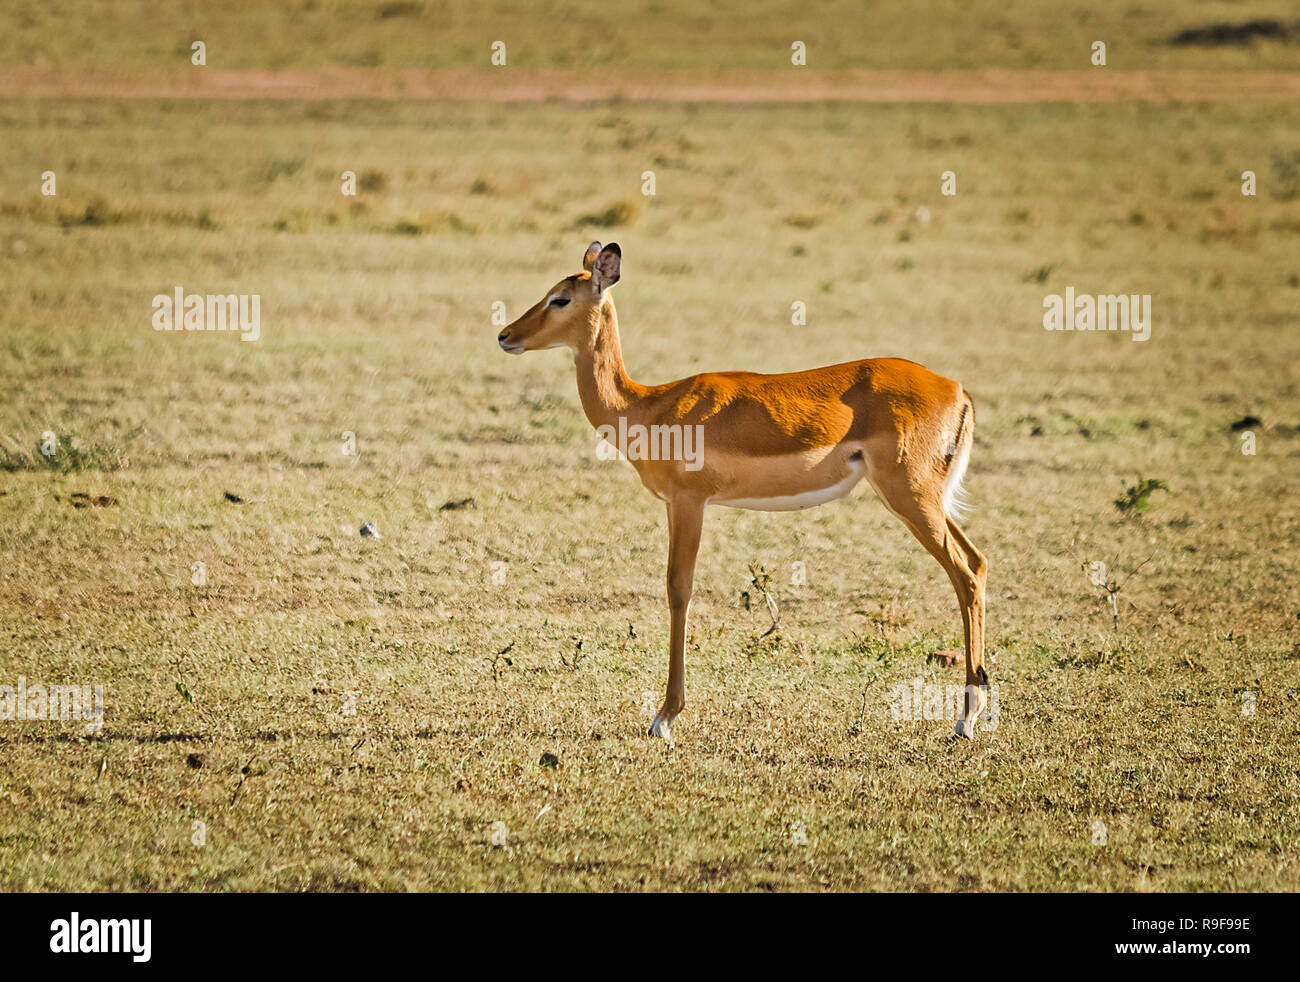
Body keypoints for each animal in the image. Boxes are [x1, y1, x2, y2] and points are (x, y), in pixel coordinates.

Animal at [497, 242, 989, 740]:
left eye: (560, 298)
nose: (505, 335)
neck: (647, 407)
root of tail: (957, 390)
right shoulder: (676, 506)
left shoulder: (690, 502)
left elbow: (679, 588)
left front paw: (664, 717)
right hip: (923, 499)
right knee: (977, 562)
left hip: (911, 496)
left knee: (964, 573)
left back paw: (965, 719)